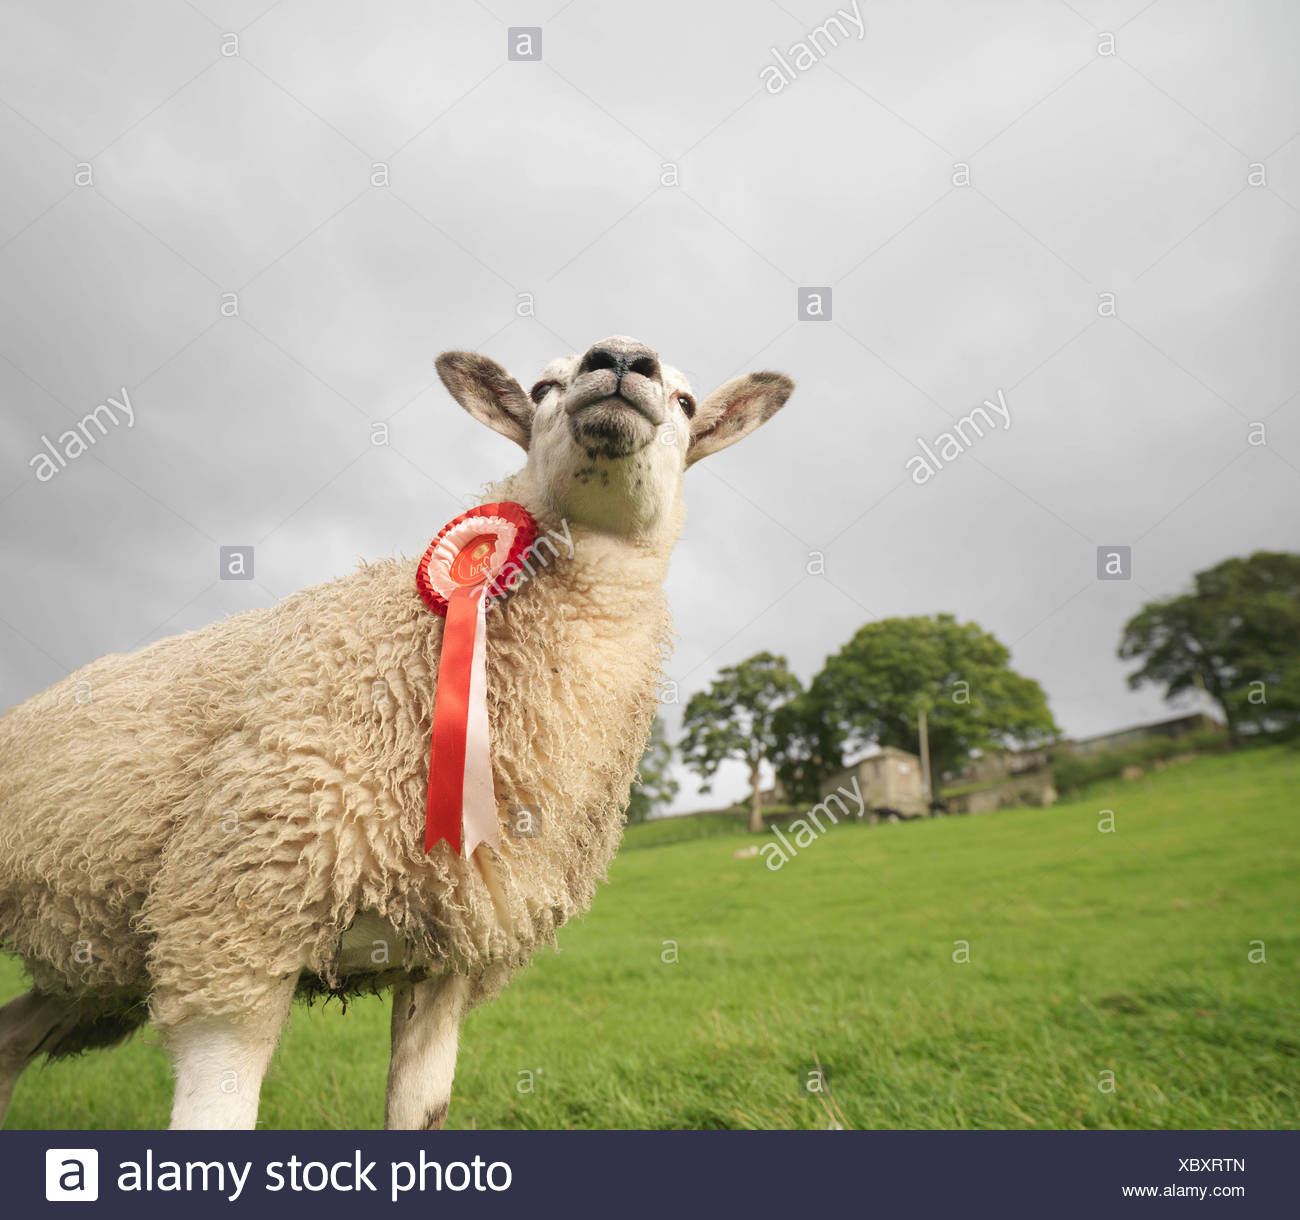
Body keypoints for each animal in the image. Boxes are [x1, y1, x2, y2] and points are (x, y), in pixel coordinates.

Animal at [0, 335, 793, 1129]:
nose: (622, 360)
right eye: (541, 388)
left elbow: (420, 1112)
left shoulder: (450, 957)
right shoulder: (232, 926)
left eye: (687, 403)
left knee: (9, 1041)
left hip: (93, 969)